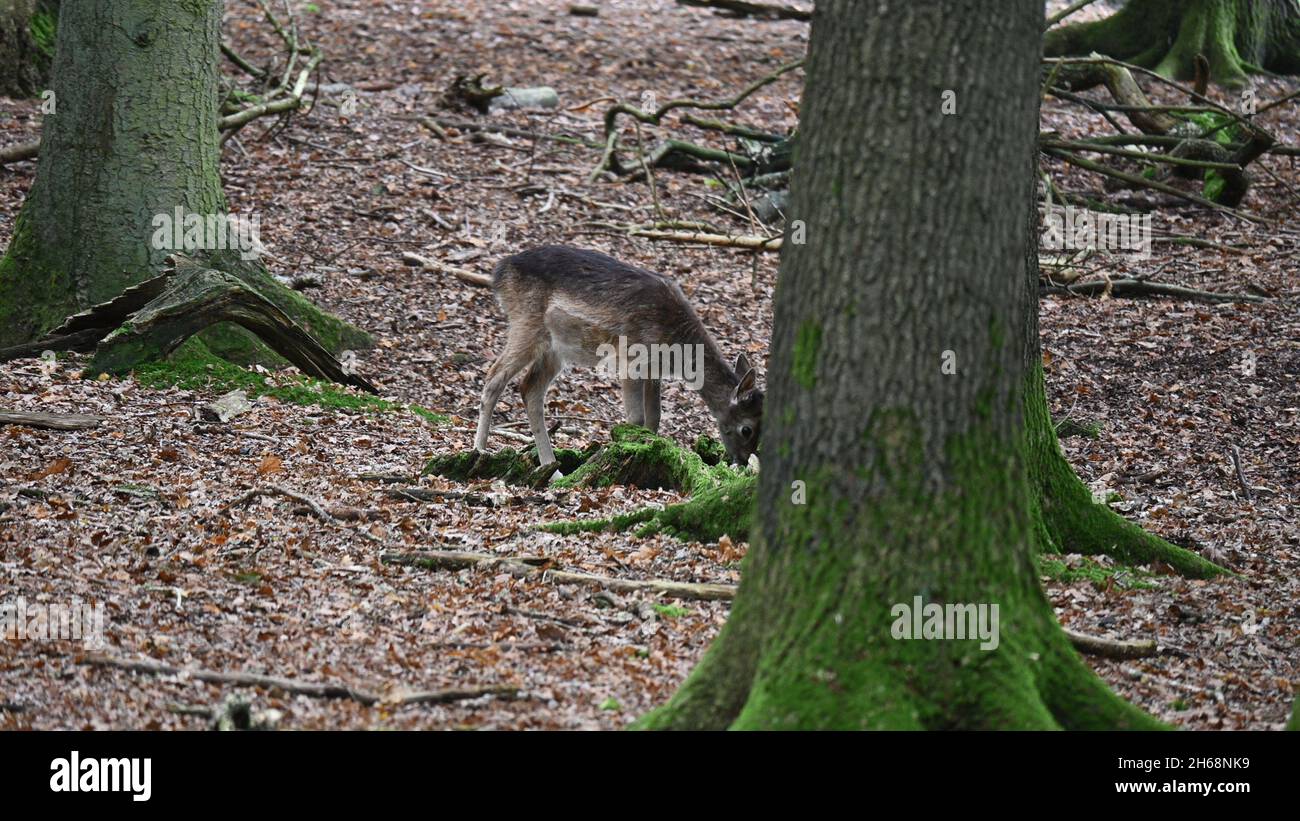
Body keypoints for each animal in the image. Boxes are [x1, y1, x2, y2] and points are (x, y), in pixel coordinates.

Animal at [473, 245, 763, 473]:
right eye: (747, 429)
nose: (742, 461)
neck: (673, 346)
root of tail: (499, 272)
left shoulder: (653, 370)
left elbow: (654, 418)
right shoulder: (631, 359)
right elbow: (636, 418)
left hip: (557, 349)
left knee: (530, 389)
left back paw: (552, 470)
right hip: (527, 324)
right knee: (494, 377)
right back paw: (479, 450)